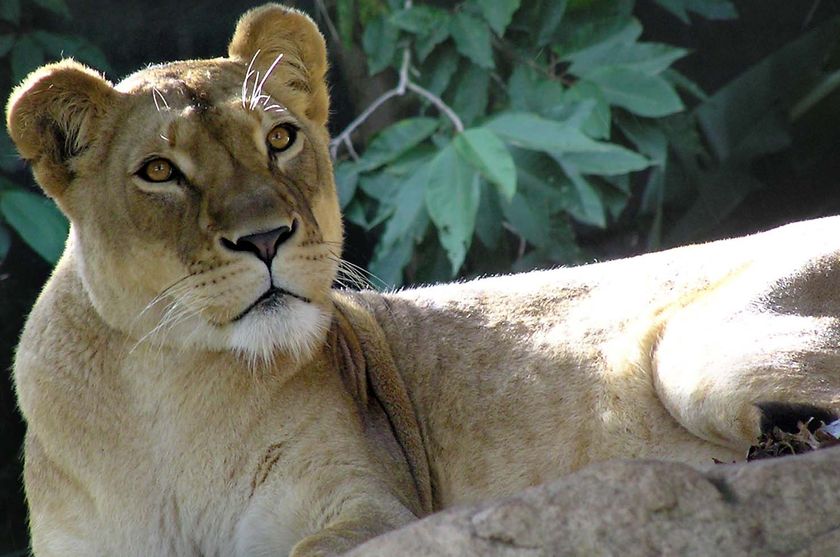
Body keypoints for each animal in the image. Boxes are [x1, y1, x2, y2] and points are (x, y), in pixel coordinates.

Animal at [6, 3, 840, 556]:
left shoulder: (375, 507)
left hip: (697, 358)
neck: (169, 393)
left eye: (280, 138)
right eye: (158, 172)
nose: (267, 237)